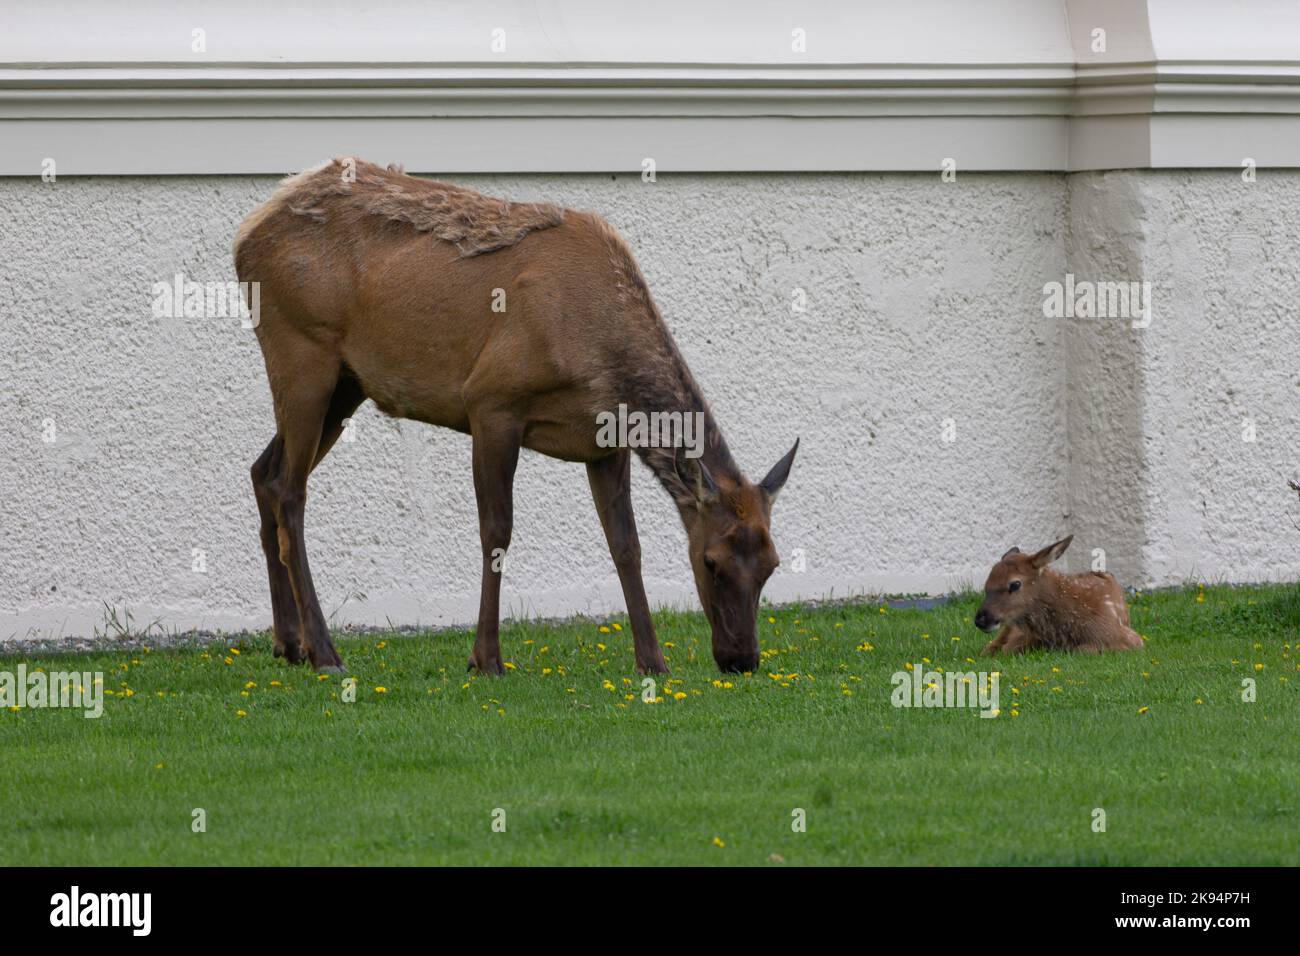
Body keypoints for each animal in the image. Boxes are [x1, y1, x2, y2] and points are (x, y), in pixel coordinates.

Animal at [234, 158, 798, 676]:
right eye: (711, 562)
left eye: (772, 564)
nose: (742, 660)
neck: (598, 357)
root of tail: (245, 238)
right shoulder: (490, 402)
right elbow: (496, 533)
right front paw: (485, 659)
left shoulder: (605, 442)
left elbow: (626, 545)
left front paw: (653, 661)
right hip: (301, 350)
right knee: (290, 490)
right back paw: (324, 652)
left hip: (346, 383)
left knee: (264, 472)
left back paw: (288, 644)